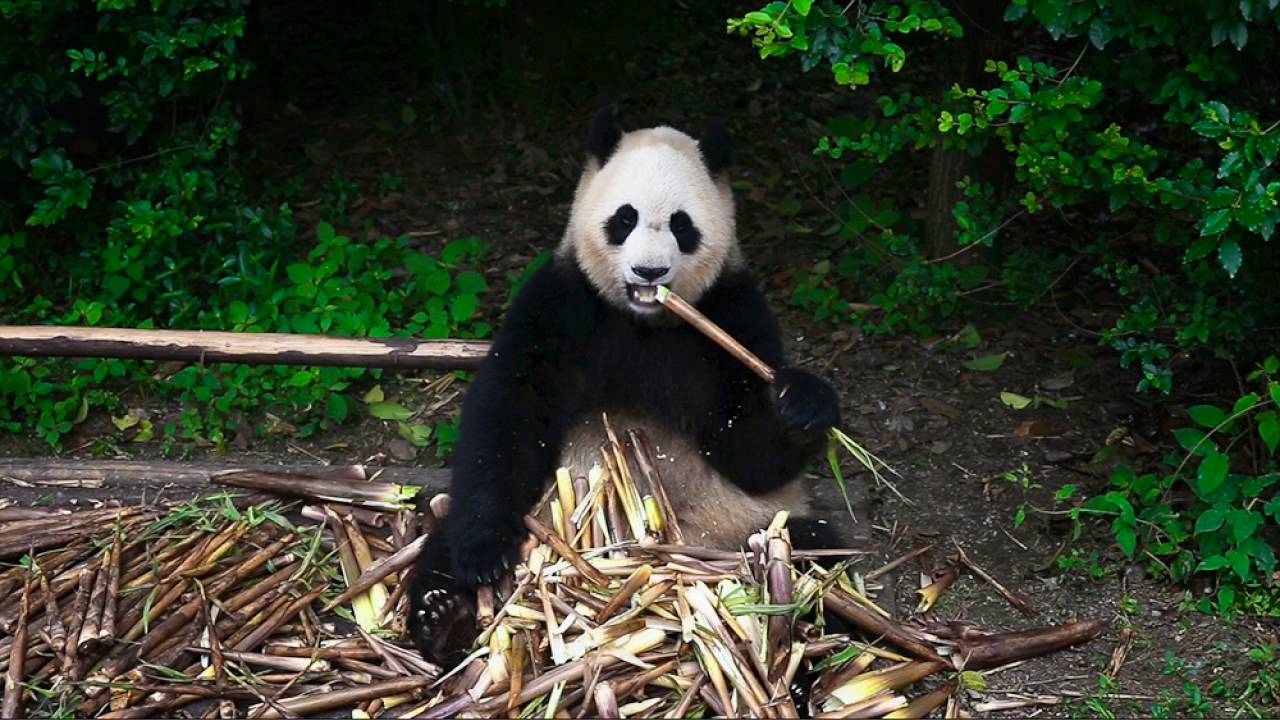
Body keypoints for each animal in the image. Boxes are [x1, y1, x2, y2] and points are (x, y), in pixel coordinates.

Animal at [409, 110, 844, 664]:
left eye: (682, 225)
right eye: (624, 219)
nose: (649, 271)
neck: (643, 322)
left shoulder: (732, 313)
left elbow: (750, 453)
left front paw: (802, 403)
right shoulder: (561, 304)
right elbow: (509, 411)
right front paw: (483, 556)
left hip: (750, 525)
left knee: (818, 550)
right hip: (537, 515)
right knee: (441, 547)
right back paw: (443, 618)